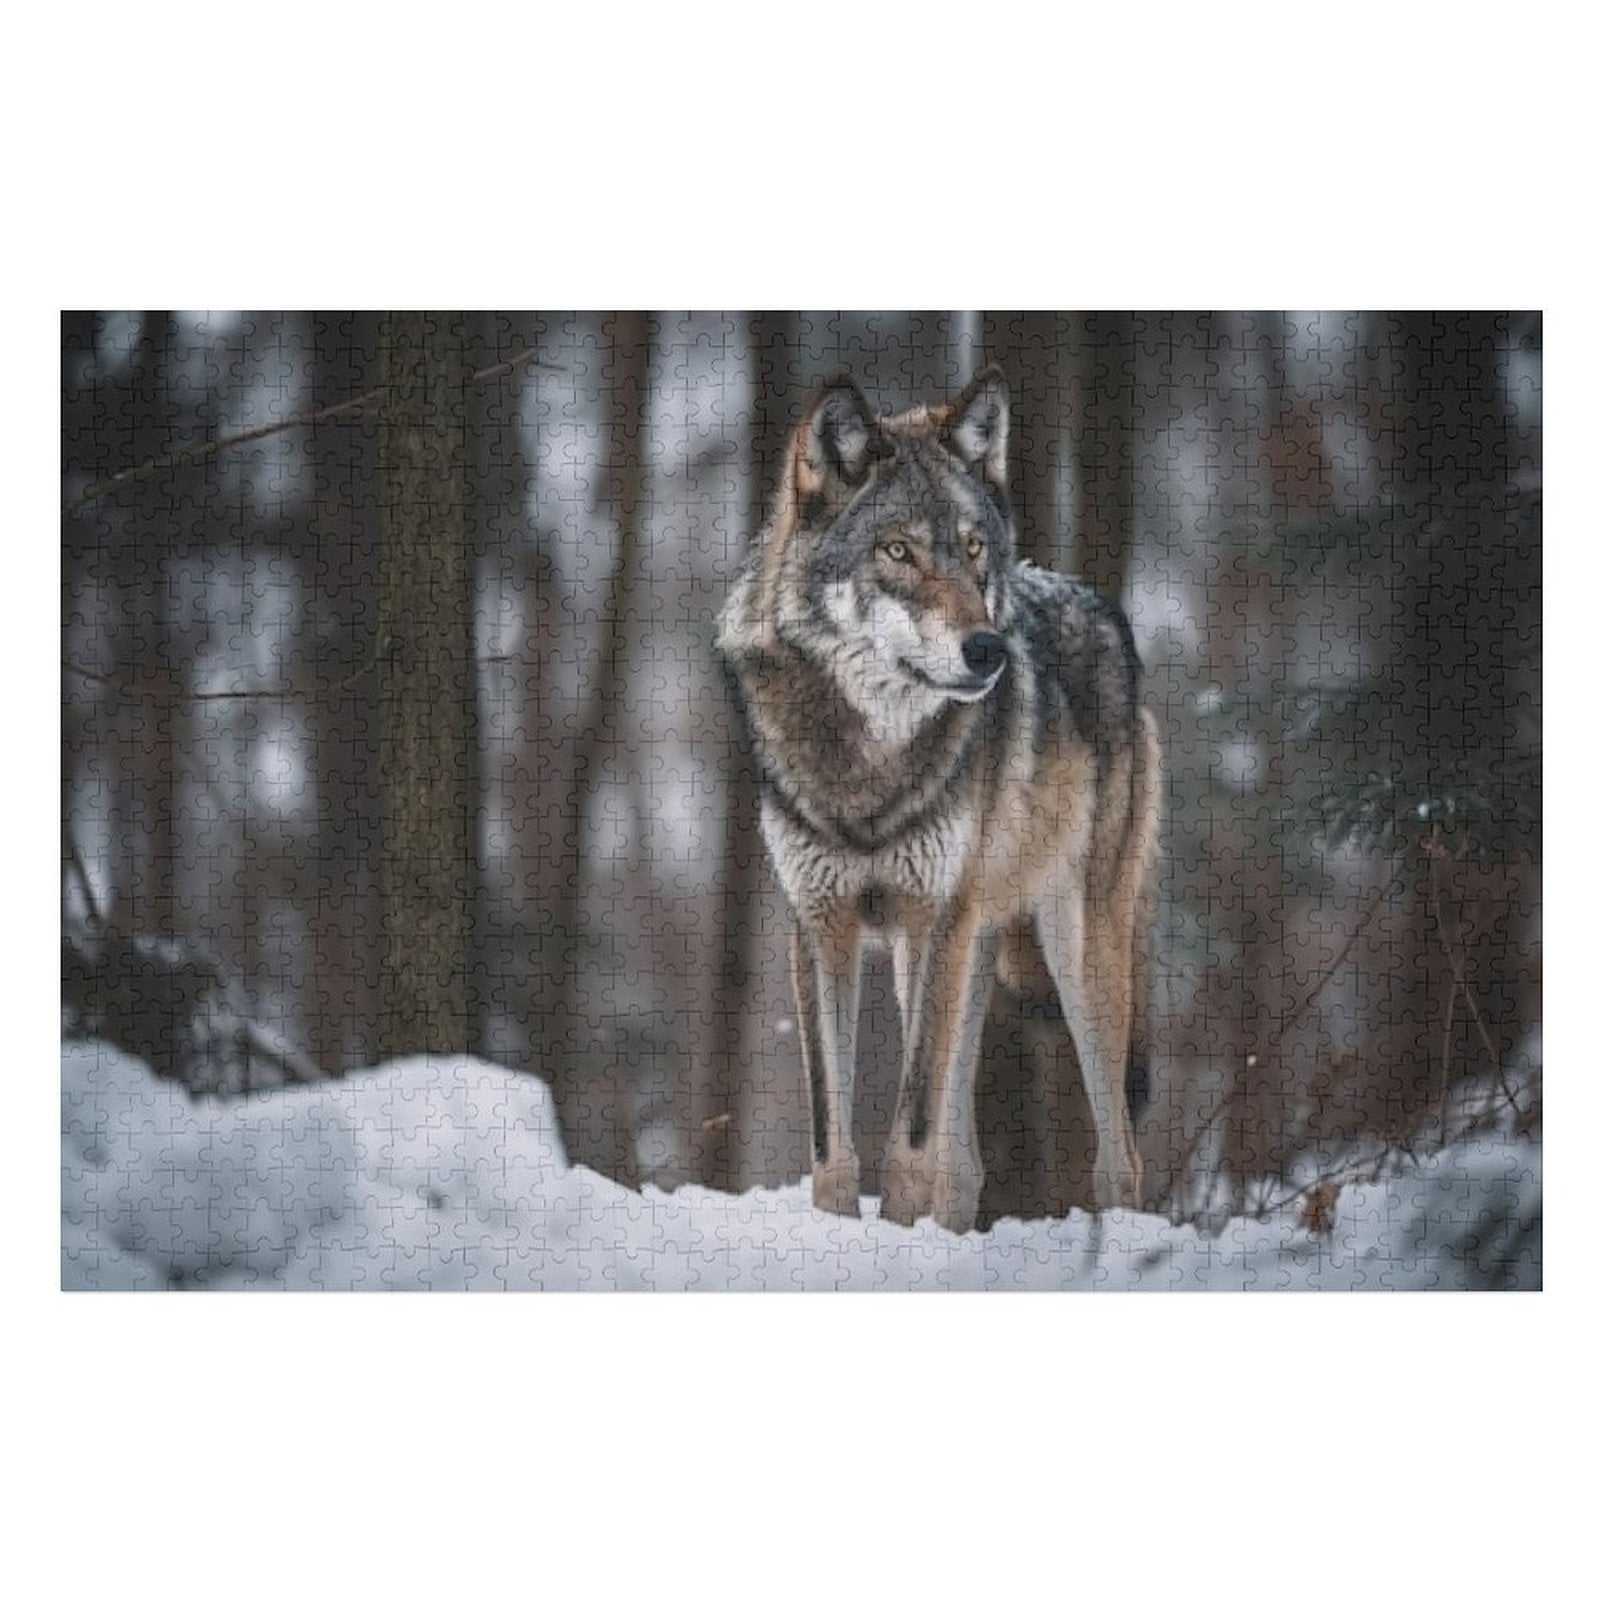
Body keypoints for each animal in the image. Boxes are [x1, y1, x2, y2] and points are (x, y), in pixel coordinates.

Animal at [716, 366, 1161, 1232]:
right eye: (899, 551)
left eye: (975, 548)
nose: (987, 650)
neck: (868, 764)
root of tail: (1104, 606)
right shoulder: (822, 928)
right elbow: (834, 1143)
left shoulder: (933, 922)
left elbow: (908, 1139)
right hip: (955, 956)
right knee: (968, 1164)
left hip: (1073, 950)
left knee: (1119, 1153)